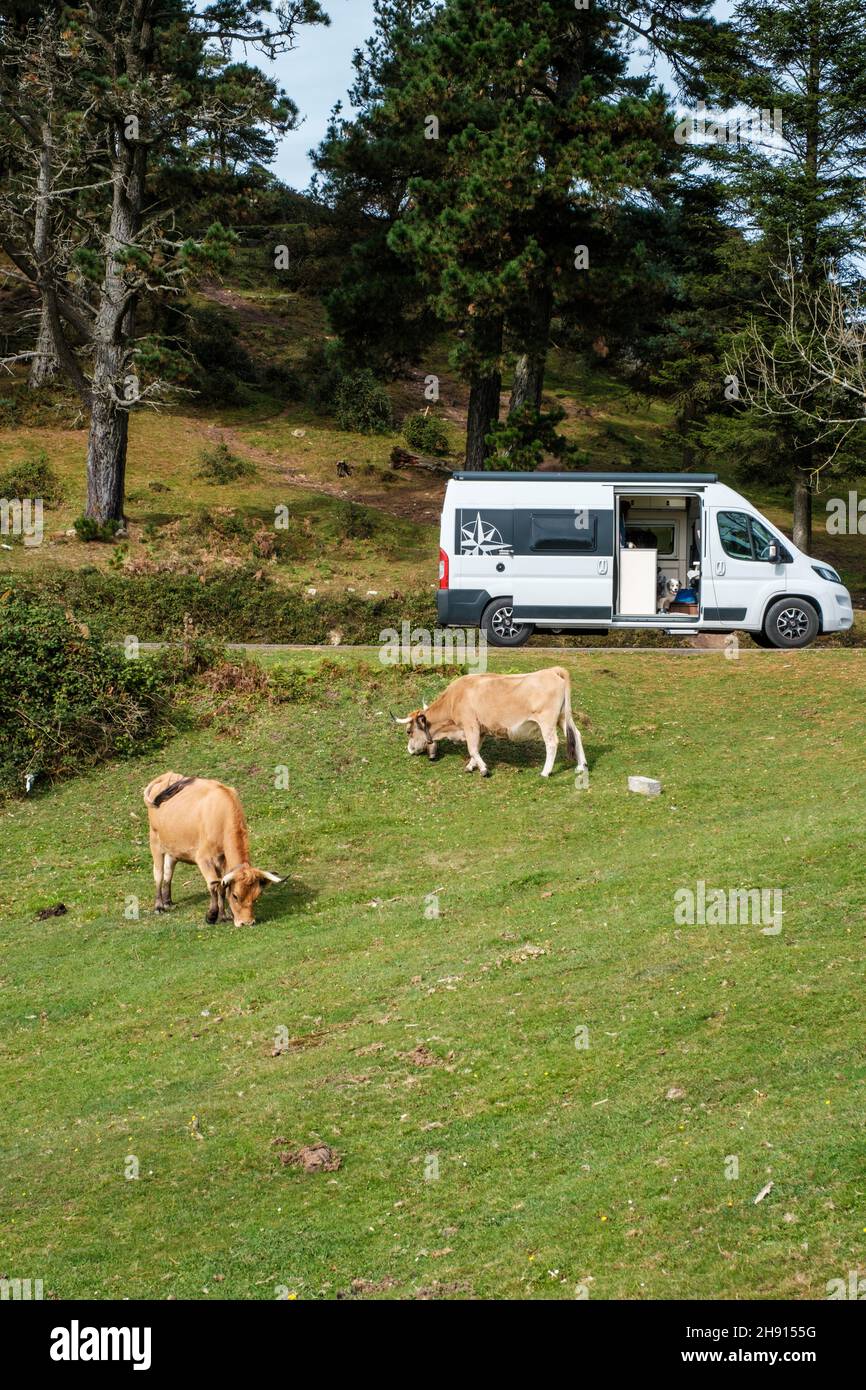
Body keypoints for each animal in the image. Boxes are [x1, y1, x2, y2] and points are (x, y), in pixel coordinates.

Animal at [143, 773, 283, 925]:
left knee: (169, 871)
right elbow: (213, 885)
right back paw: (159, 906)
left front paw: (223, 915)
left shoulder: (224, 860)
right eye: (235, 896)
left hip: (172, 846)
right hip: (155, 842)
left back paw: (168, 901)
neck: (222, 817)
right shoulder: (204, 859)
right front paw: (211, 915)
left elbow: (222, 886)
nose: (247, 922)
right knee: (159, 873)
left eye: (256, 896)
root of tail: (167, 775)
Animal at [391, 666, 587, 779]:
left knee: (552, 743)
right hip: (564, 717)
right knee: (577, 735)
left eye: (408, 731)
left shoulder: (470, 724)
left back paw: (545, 772)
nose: (410, 750)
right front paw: (471, 766)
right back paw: (581, 766)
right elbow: (476, 748)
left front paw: (484, 769)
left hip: (547, 721)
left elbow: (472, 748)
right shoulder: (481, 729)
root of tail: (552, 670)